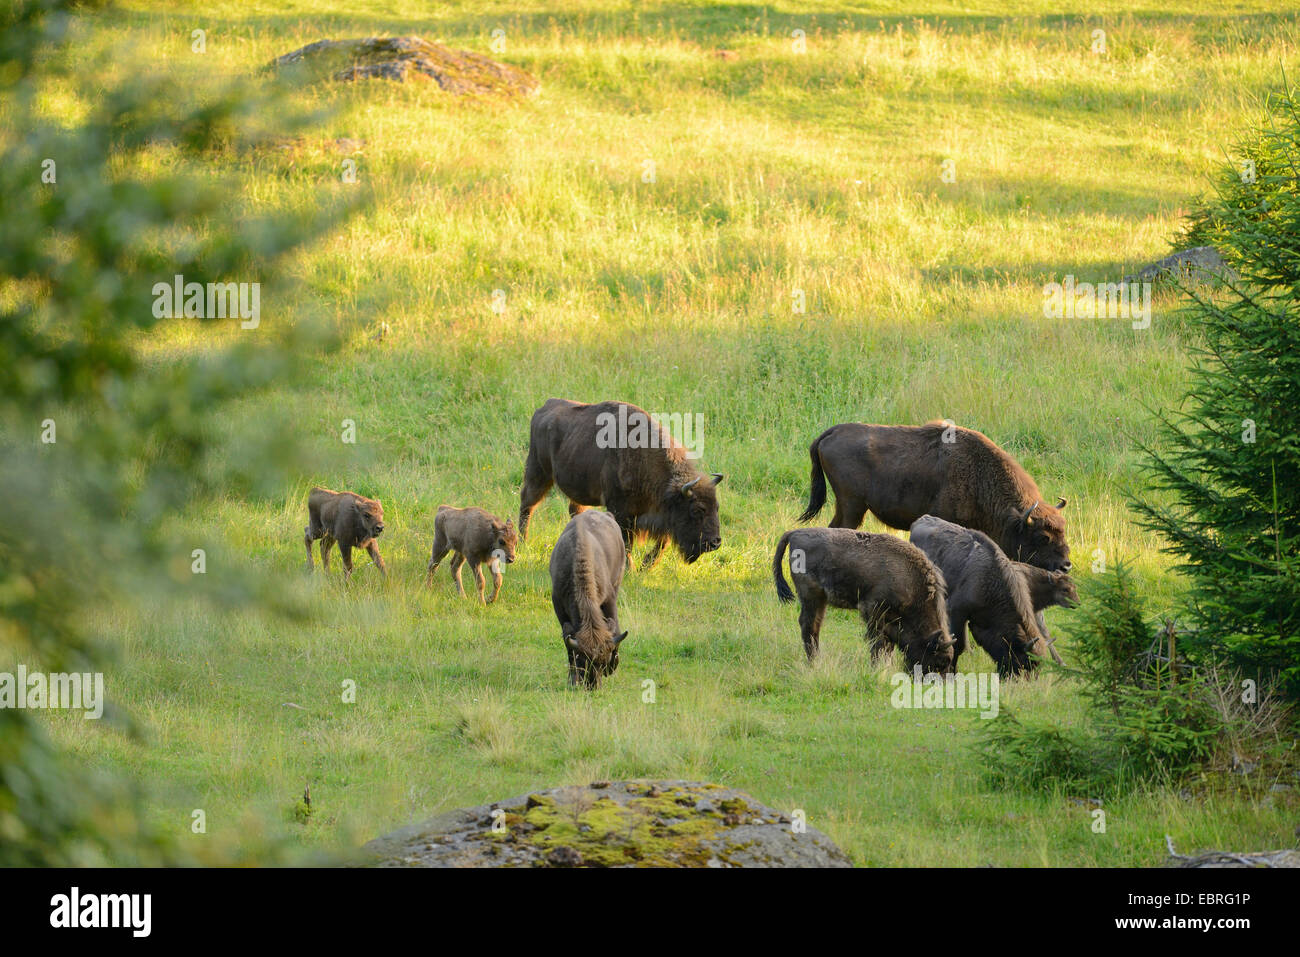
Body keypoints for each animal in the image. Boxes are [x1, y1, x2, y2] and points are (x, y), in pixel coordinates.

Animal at [520, 398, 723, 568]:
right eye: (697, 510)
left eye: (716, 507)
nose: (715, 542)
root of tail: (544, 407)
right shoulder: (621, 511)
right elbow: (627, 542)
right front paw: (630, 569)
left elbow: (662, 542)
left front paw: (645, 566)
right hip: (538, 474)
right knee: (528, 504)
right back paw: (523, 541)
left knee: (574, 510)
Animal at [550, 510, 628, 689]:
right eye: (583, 662)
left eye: (603, 662)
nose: (594, 686)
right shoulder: (558, 606)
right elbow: (568, 644)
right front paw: (573, 679)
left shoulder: (609, 600)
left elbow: (616, 630)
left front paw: (613, 665)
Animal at [773, 527, 956, 673]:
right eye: (939, 661)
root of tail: (795, 533)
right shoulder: (872, 610)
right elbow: (877, 642)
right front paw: (877, 668)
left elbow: (887, 645)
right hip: (811, 596)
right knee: (808, 626)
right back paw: (814, 662)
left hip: (820, 600)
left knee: (814, 626)